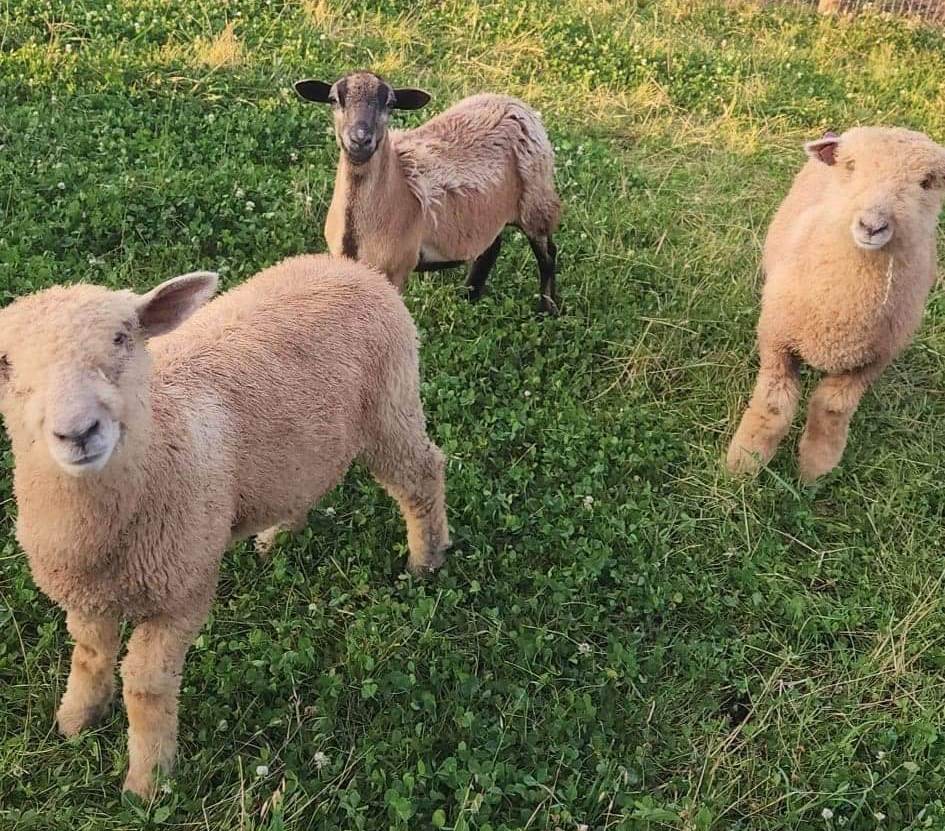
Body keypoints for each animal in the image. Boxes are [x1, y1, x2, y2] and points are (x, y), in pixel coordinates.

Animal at [0, 254, 450, 797]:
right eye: (5, 364)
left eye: (122, 337)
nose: (79, 432)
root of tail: (352, 266)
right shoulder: (85, 597)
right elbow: (89, 655)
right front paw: (75, 720)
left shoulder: (183, 591)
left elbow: (145, 683)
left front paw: (148, 782)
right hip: (309, 441)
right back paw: (279, 536)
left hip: (392, 403)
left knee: (422, 476)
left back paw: (427, 559)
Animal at [294, 70, 562, 313]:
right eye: (333, 100)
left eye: (390, 103)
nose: (360, 140)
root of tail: (512, 102)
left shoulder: (396, 268)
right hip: (488, 210)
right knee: (490, 247)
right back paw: (469, 296)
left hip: (535, 200)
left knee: (547, 253)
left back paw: (547, 309)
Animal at [727, 126, 945, 482]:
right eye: (851, 166)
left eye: (927, 182)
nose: (871, 225)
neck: (842, 315)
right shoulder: (777, 340)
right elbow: (774, 405)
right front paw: (743, 464)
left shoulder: (871, 363)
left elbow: (831, 409)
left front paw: (815, 470)